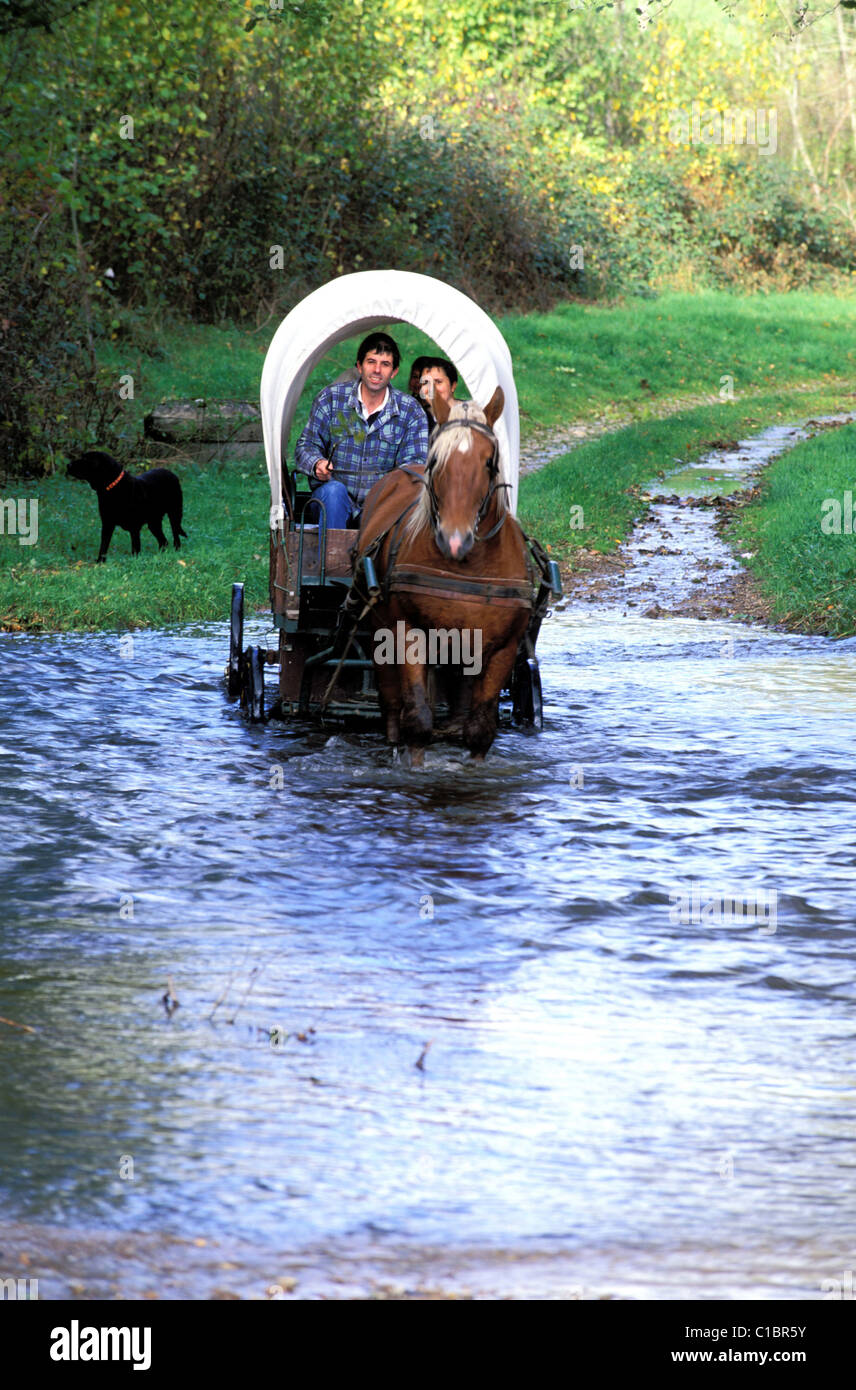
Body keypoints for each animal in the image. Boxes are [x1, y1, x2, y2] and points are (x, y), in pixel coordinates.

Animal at [353, 387, 534, 764]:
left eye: (489, 462)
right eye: (436, 461)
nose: (454, 539)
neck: (468, 566)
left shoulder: (503, 647)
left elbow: (479, 729)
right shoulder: (407, 633)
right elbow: (418, 720)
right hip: (379, 630)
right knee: (392, 701)